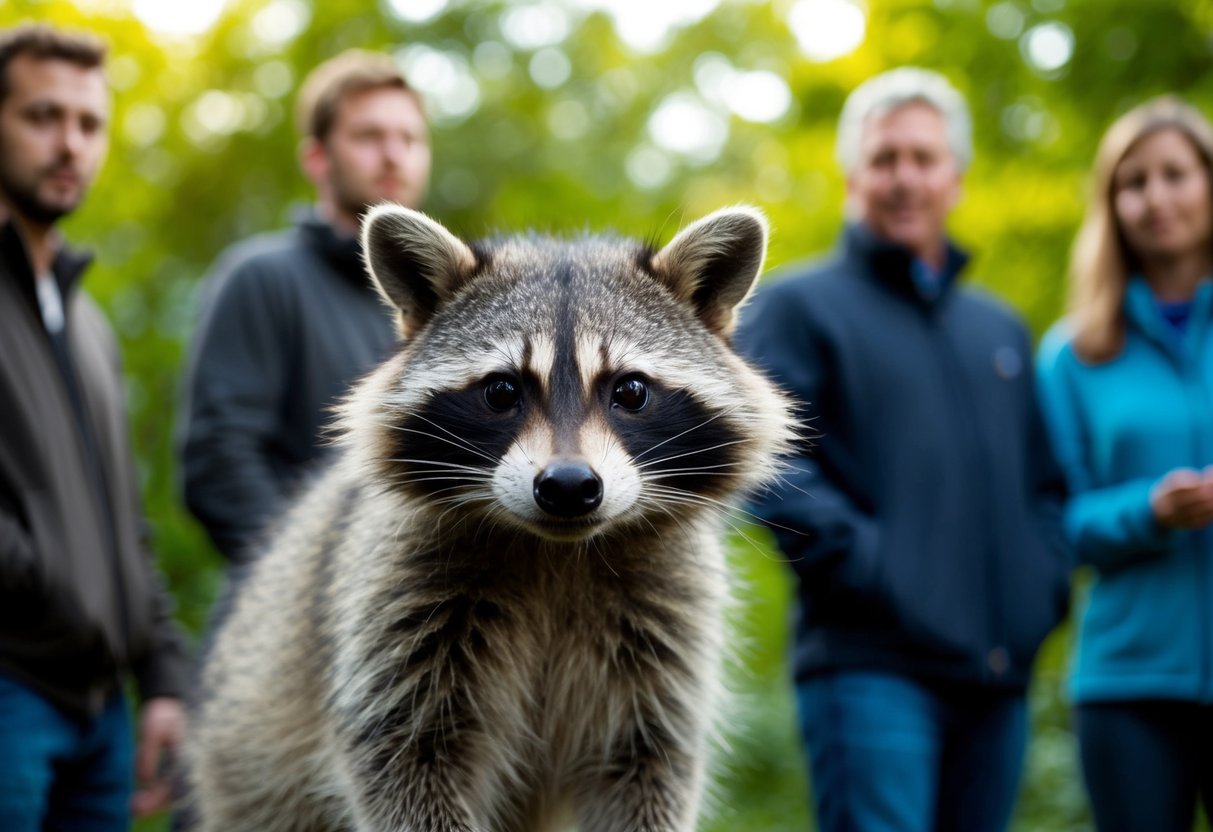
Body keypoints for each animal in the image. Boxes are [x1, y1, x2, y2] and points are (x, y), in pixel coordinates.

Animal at [186, 205, 795, 832]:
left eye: (630, 391)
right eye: (502, 391)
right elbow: (406, 758)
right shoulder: (391, 607)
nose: (569, 487)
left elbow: (645, 762)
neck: (556, 552)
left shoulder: (666, 628)